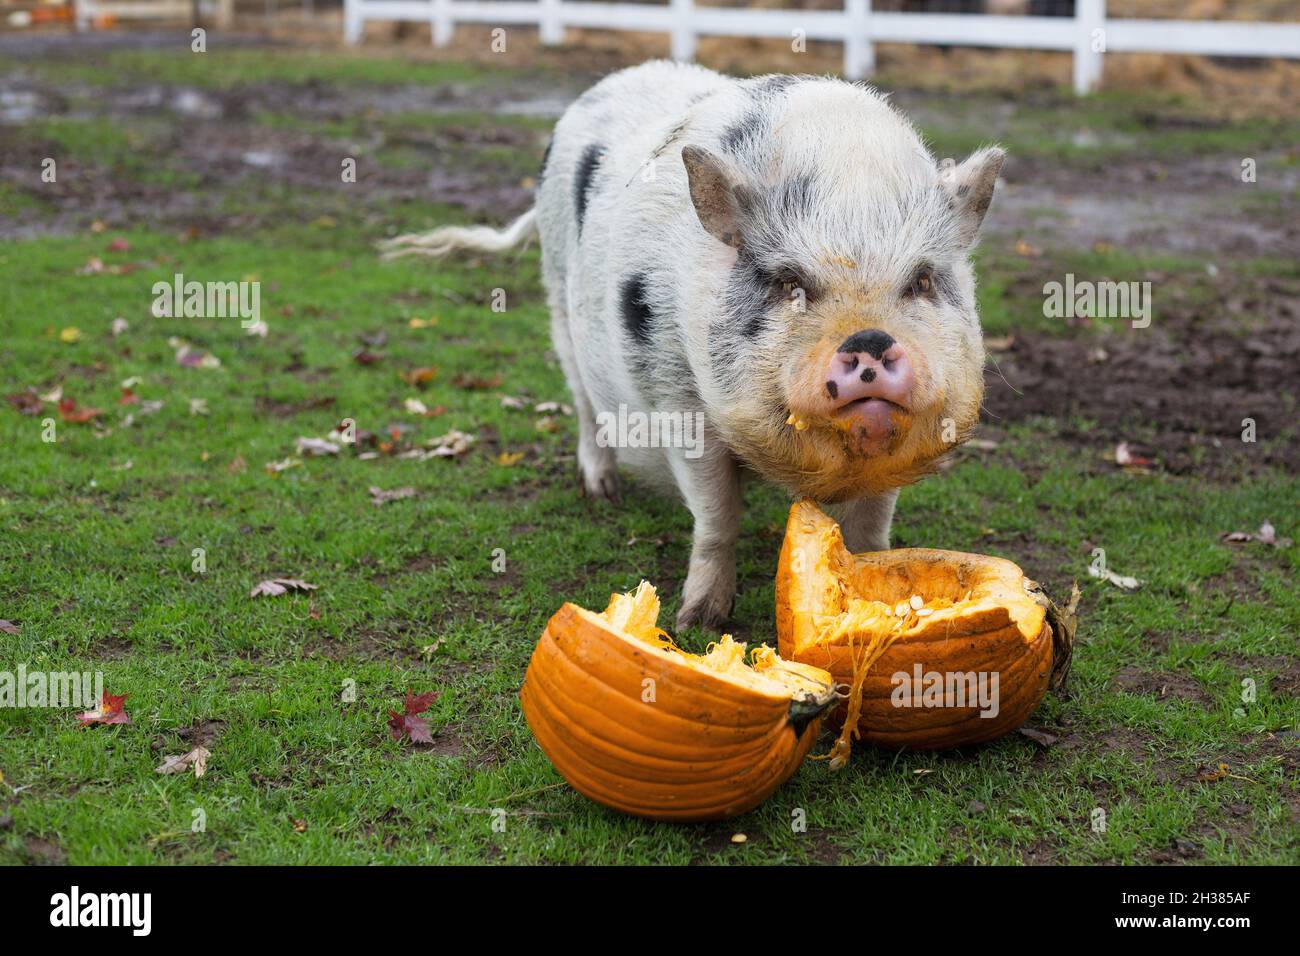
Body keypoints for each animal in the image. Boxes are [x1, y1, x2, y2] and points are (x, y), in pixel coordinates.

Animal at [384, 61, 1003, 630]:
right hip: (557, 299)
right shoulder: (678, 395)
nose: (870, 338)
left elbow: (871, 529)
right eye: (789, 283)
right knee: (584, 404)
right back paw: (601, 493)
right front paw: (695, 622)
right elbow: (716, 516)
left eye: (921, 281)